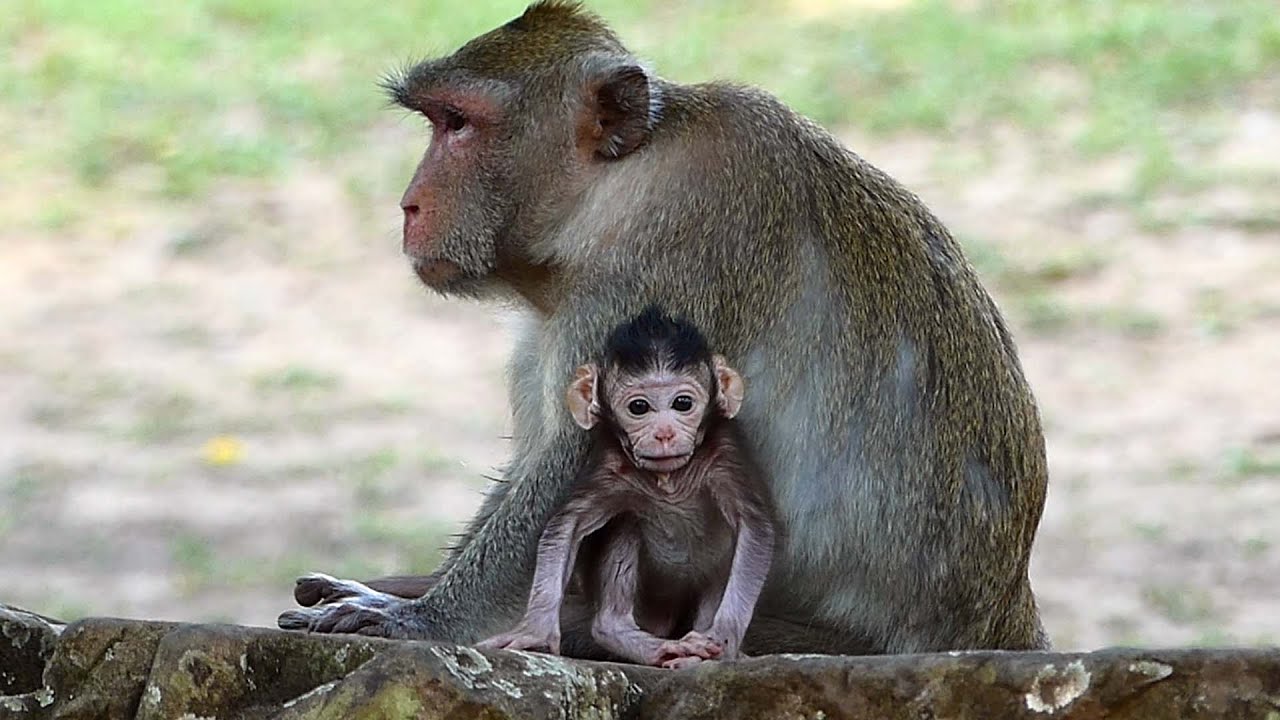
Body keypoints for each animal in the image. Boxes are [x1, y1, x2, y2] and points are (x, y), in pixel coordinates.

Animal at [476, 307, 775, 669]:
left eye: (683, 403)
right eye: (639, 407)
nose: (664, 434)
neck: (670, 479)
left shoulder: (724, 459)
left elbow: (755, 529)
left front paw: (723, 638)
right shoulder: (611, 468)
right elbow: (567, 525)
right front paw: (534, 632)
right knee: (627, 520)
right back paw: (643, 641)